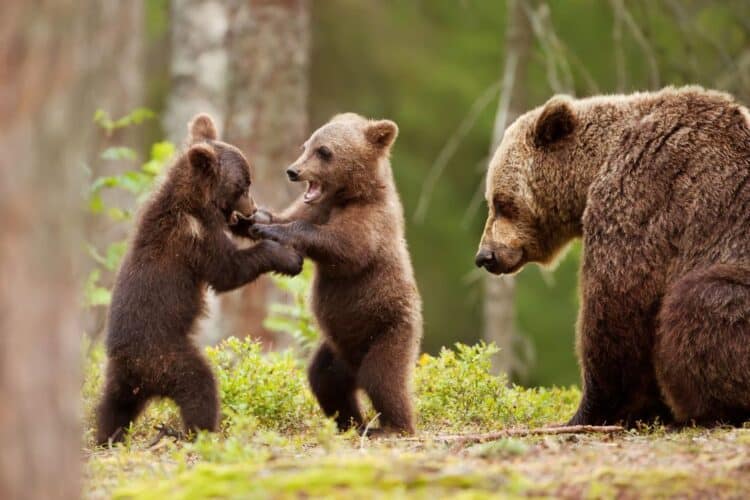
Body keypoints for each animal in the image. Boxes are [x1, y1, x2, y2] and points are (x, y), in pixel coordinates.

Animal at [95, 114, 303, 445]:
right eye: (243, 184)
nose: (251, 207)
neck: (195, 203)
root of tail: (136, 370)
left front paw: (261, 223)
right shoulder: (194, 238)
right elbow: (228, 271)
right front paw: (286, 256)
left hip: (121, 379)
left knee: (112, 406)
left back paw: (106, 436)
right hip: (167, 357)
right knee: (199, 385)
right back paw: (201, 430)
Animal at [247, 113, 423, 435]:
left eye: (324, 151)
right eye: (306, 145)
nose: (293, 171)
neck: (348, 195)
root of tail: (353, 365)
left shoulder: (371, 221)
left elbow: (345, 248)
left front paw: (274, 231)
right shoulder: (317, 207)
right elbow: (291, 215)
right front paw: (257, 218)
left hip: (389, 330)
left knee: (383, 379)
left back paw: (393, 426)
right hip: (336, 349)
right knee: (325, 380)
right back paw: (351, 422)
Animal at [475, 86, 750, 427]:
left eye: (501, 202)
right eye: (492, 200)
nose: (485, 256)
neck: (593, 170)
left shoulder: (643, 197)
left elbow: (616, 304)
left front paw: (588, 411)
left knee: (700, 299)